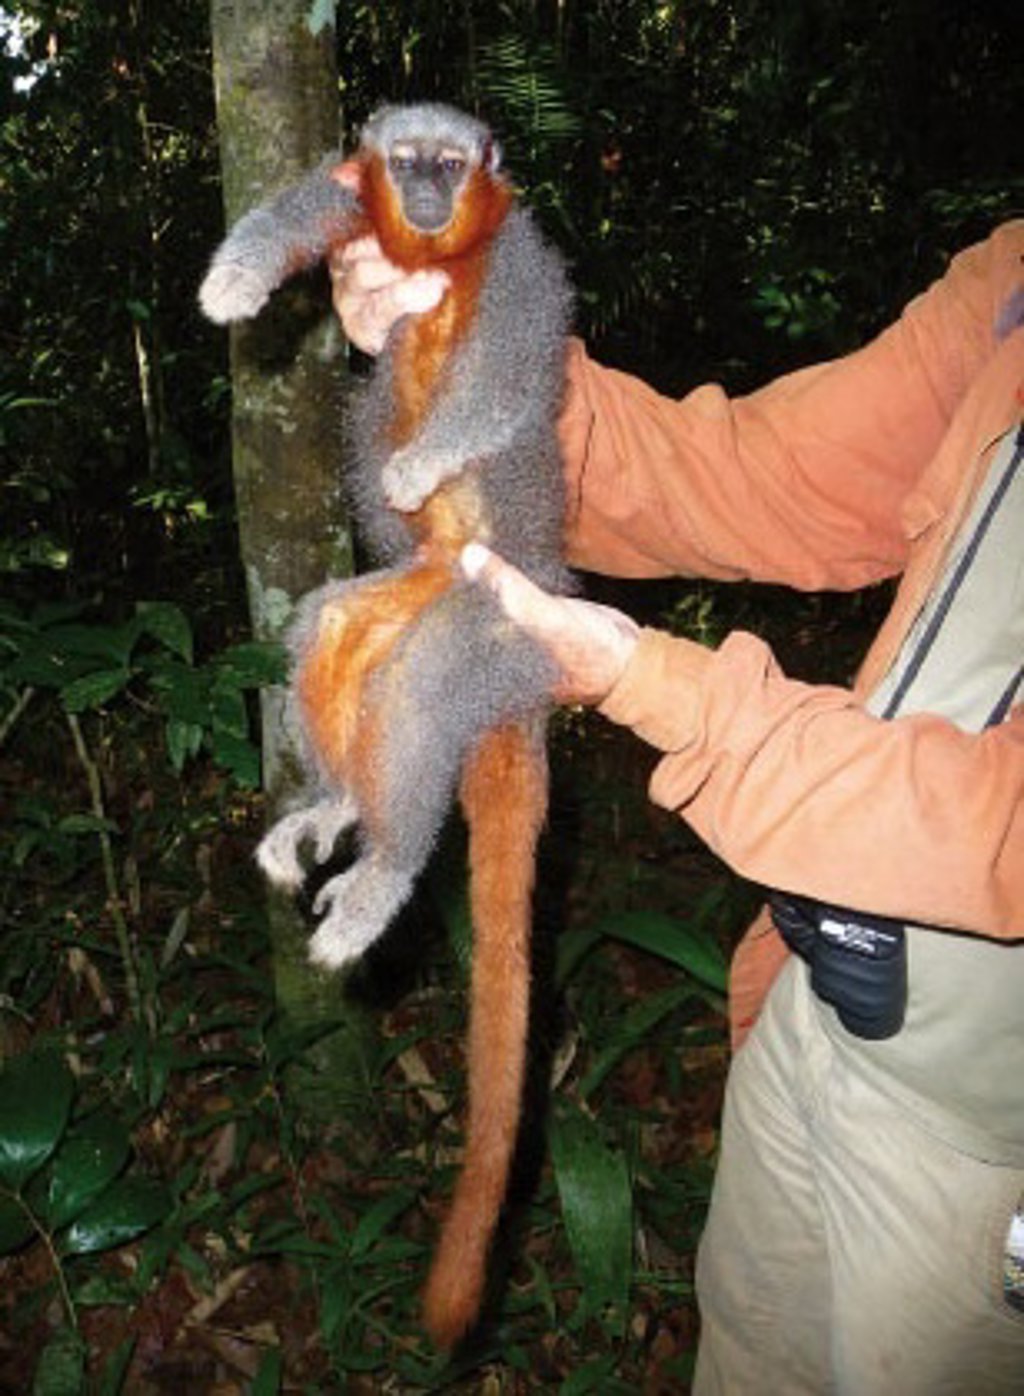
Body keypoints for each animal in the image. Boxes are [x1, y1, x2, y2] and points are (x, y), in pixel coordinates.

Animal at [199, 103, 572, 1347]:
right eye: (405, 158)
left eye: (451, 165)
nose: (423, 189)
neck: (439, 256)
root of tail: (520, 687)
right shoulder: (357, 205)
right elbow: (308, 206)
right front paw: (239, 277)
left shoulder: (521, 261)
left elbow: (512, 367)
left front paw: (422, 455)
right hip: (405, 587)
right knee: (322, 623)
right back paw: (333, 810)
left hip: (484, 627)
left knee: (416, 698)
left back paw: (387, 869)